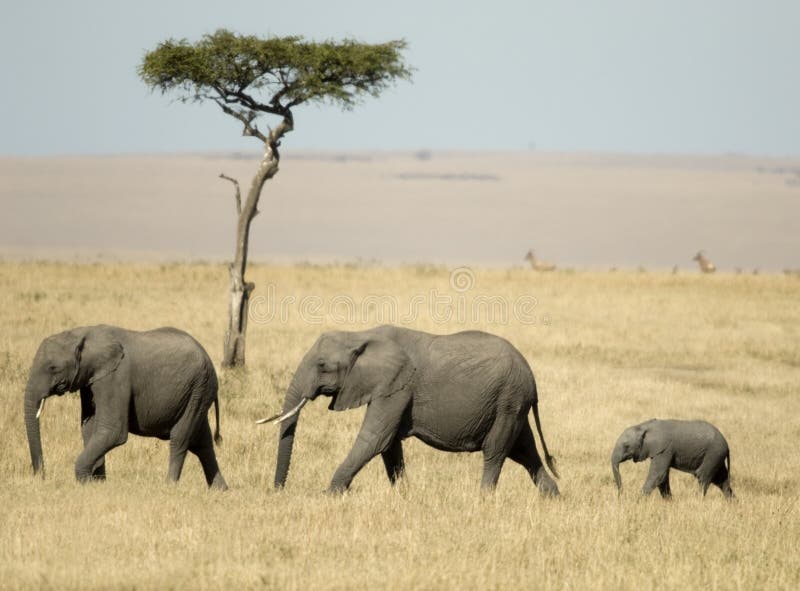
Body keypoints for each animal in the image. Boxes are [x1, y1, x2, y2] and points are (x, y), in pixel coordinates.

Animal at [24, 325, 228, 490]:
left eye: (53, 368)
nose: (42, 476)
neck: (82, 333)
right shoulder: (90, 379)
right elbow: (89, 428)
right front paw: (98, 483)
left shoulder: (115, 377)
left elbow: (112, 431)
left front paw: (85, 482)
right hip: (198, 391)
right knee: (202, 442)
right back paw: (220, 490)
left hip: (199, 388)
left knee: (180, 438)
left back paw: (169, 486)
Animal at [260, 325, 560, 495]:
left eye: (322, 365)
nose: (277, 492)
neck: (359, 334)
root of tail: (531, 378)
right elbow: (389, 446)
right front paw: (405, 496)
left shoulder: (396, 386)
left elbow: (375, 438)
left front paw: (329, 495)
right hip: (512, 403)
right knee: (524, 452)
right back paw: (552, 498)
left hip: (509, 399)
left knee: (496, 451)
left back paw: (483, 500)